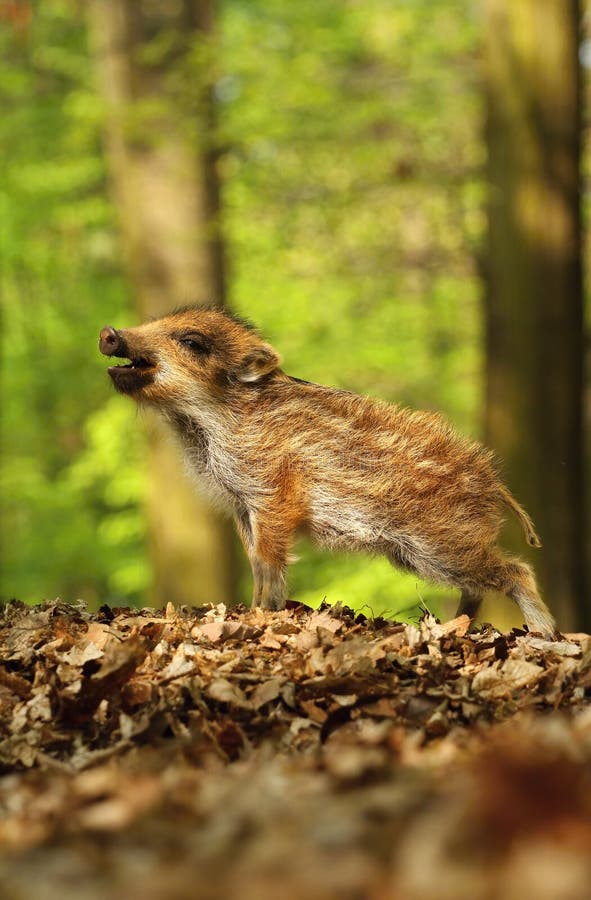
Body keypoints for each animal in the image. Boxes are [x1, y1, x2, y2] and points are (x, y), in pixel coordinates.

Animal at [99, 306, 556, 637]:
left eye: (192, 341)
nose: (109, 332)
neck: (209, 424)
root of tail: (494, 483)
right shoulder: (243, 505)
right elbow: (255, 562)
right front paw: (254, 610)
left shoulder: (272, 493)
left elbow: (269, 561)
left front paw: (262, 615)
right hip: (417, 553)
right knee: (478, 587)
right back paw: (455, 627)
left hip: (441, 543)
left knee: (515, 570)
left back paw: (544, 633)